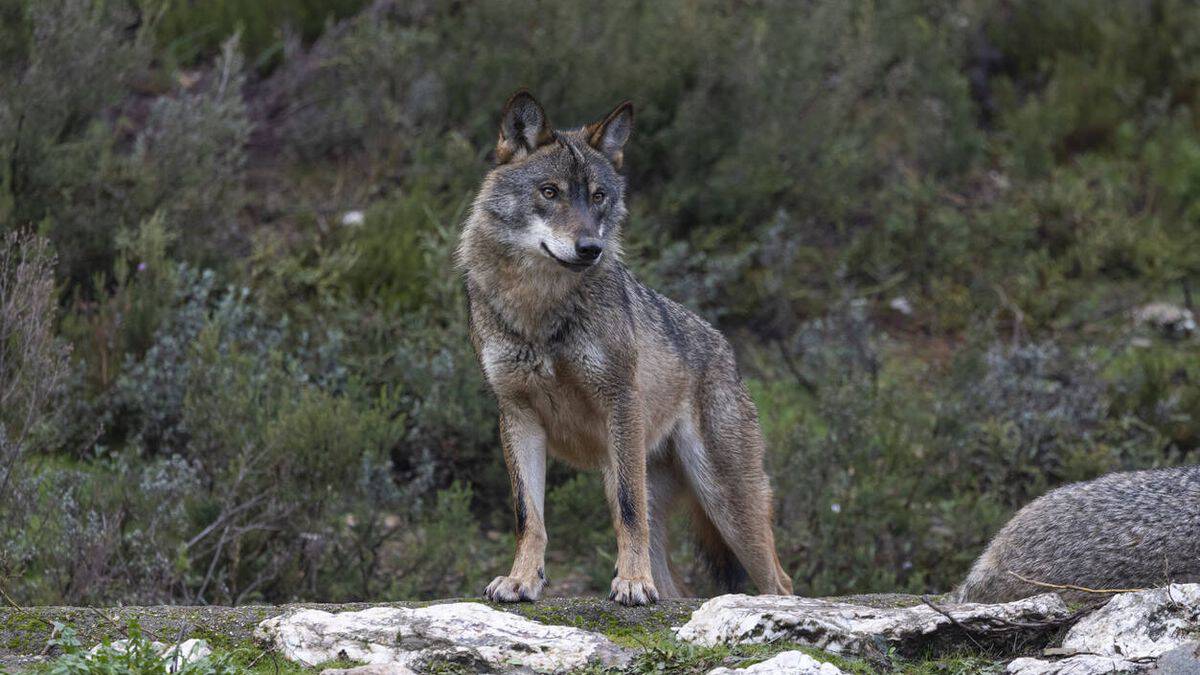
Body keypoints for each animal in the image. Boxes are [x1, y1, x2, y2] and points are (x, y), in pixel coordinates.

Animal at [456, 91, 794, 605]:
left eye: (598, 196)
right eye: (549, 192)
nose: (590, 248)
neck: (539, 309)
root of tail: (724, 347)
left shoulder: (620, 402)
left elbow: (629, 514)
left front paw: (632, 582)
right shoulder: (517, 415)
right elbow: (528, 515)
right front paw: (521, 579)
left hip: (725, 502)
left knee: (780, 580)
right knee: (674, 586)